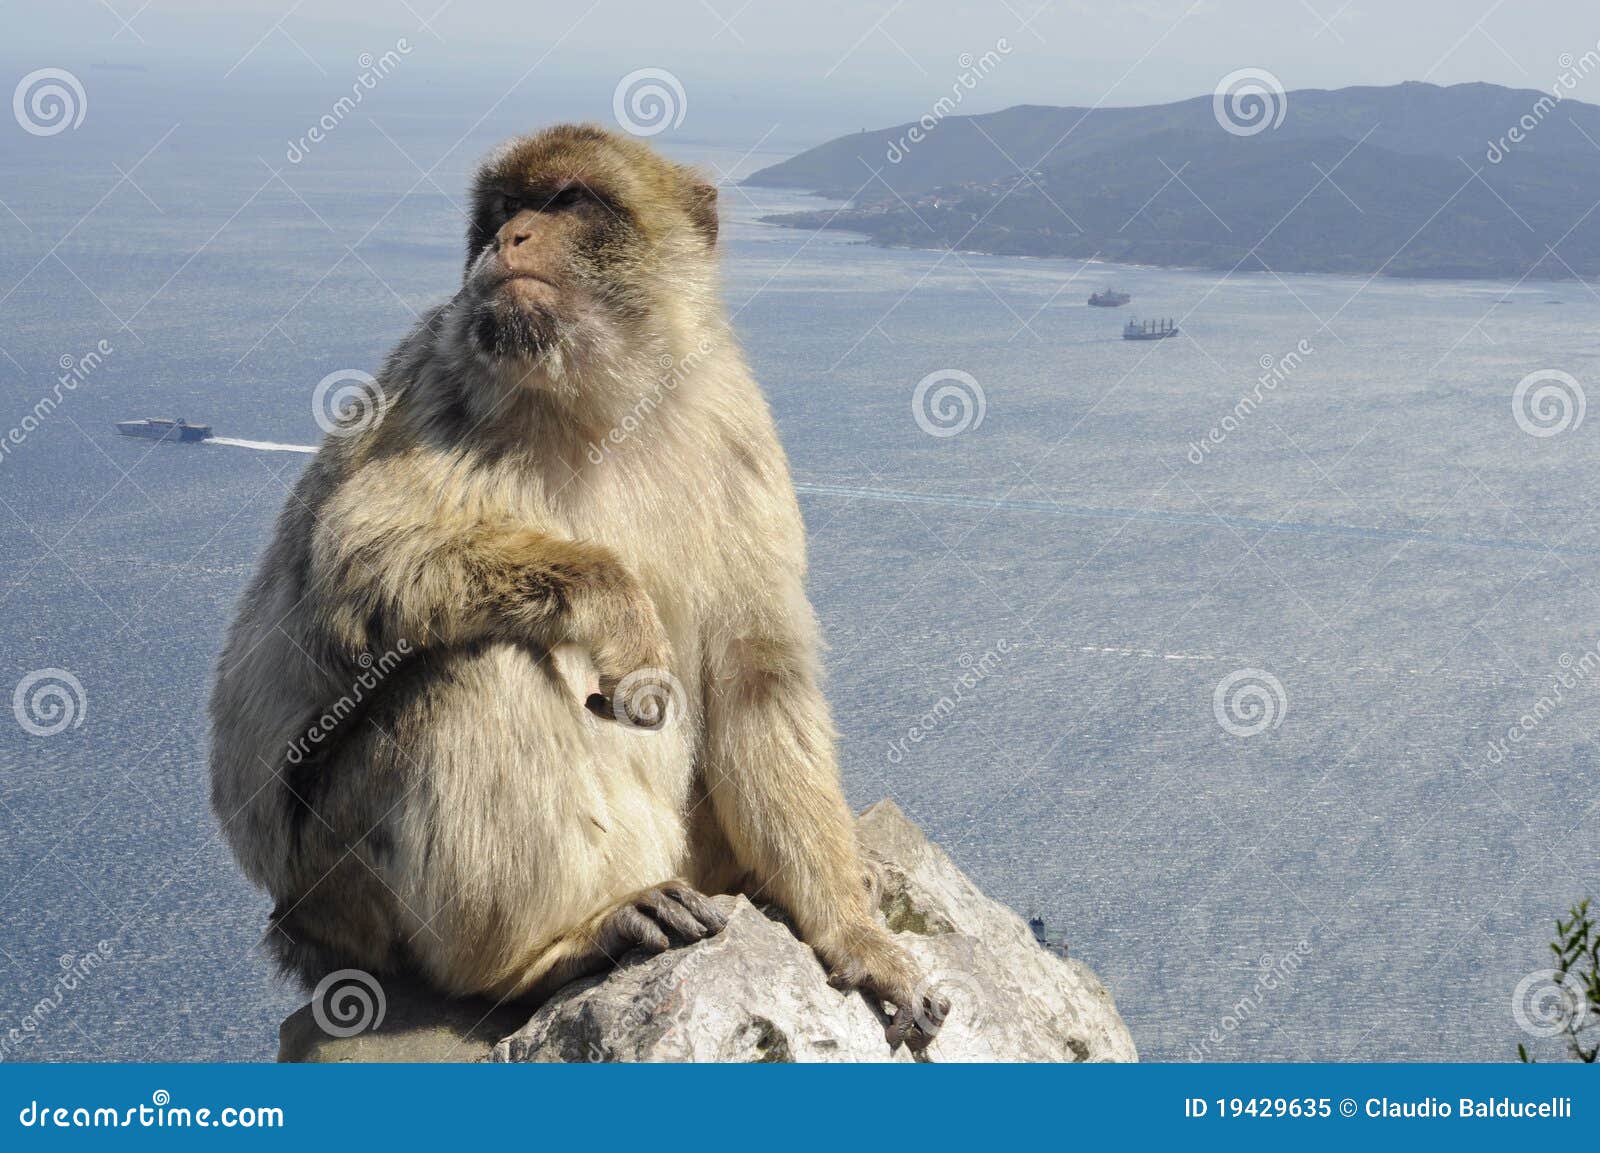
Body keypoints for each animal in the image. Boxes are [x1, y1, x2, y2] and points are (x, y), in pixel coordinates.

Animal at [208, 124, 947, 1049]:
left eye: (567, 200)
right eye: (502, 208)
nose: (508, 238)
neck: (603, 399)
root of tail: (294, 923)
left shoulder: (736, 423)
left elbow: (756, 674)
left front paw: (851, 931)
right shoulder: (441, 377)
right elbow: (349, 563)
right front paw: (619, 603)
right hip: (343, 886)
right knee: (479, 669)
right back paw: (544, 952)